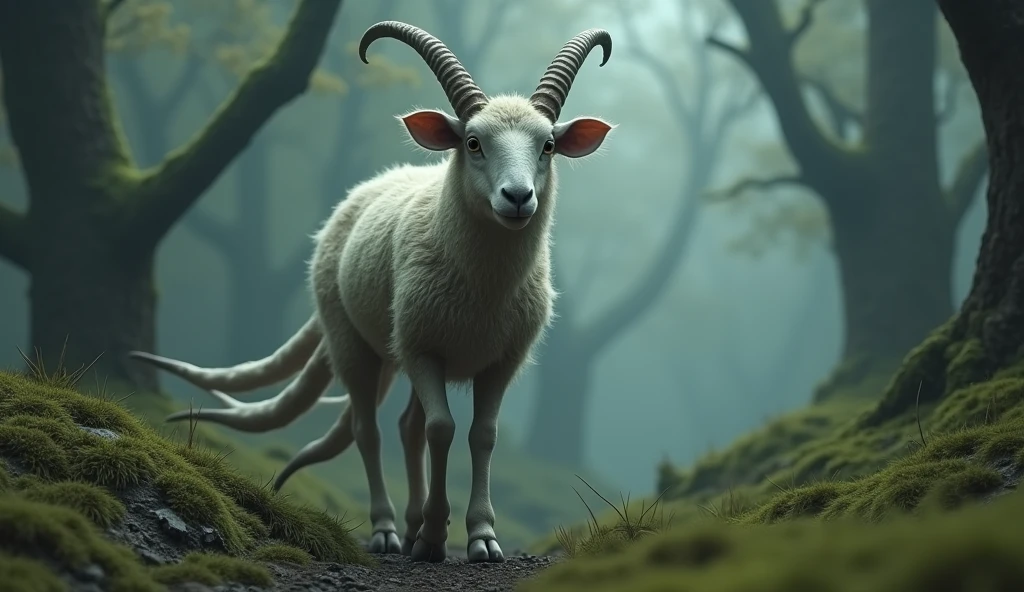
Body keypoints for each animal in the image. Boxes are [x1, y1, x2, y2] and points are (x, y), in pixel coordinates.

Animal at [129, 20, 614, 564]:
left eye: (548, 145)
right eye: (472, 142)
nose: (517, 197)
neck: (484, 289)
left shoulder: (501, 359)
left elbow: (481, 435)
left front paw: (480, 538)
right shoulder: (422, 348)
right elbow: (442, 429)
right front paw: (433, 538)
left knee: (407, 426)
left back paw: (411, 523)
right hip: (355, 341)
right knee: (372, 430)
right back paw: (388, 531)